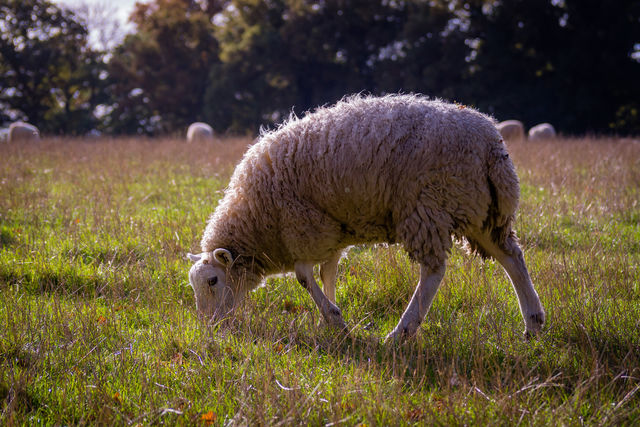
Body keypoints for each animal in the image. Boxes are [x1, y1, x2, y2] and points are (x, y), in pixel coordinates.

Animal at [187, 94, 545, 342]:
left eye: (213, 281)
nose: (209, 327)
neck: (258, 219)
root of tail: (490, 142)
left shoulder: (303, 226)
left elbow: (303, 276)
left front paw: (334, 318)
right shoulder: (330, 233)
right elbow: (328, 273)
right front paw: (332, 319)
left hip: (428, 205)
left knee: (434, 271)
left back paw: (401, 332)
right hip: (482, 212)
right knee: (512, 257)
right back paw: (533, 323)